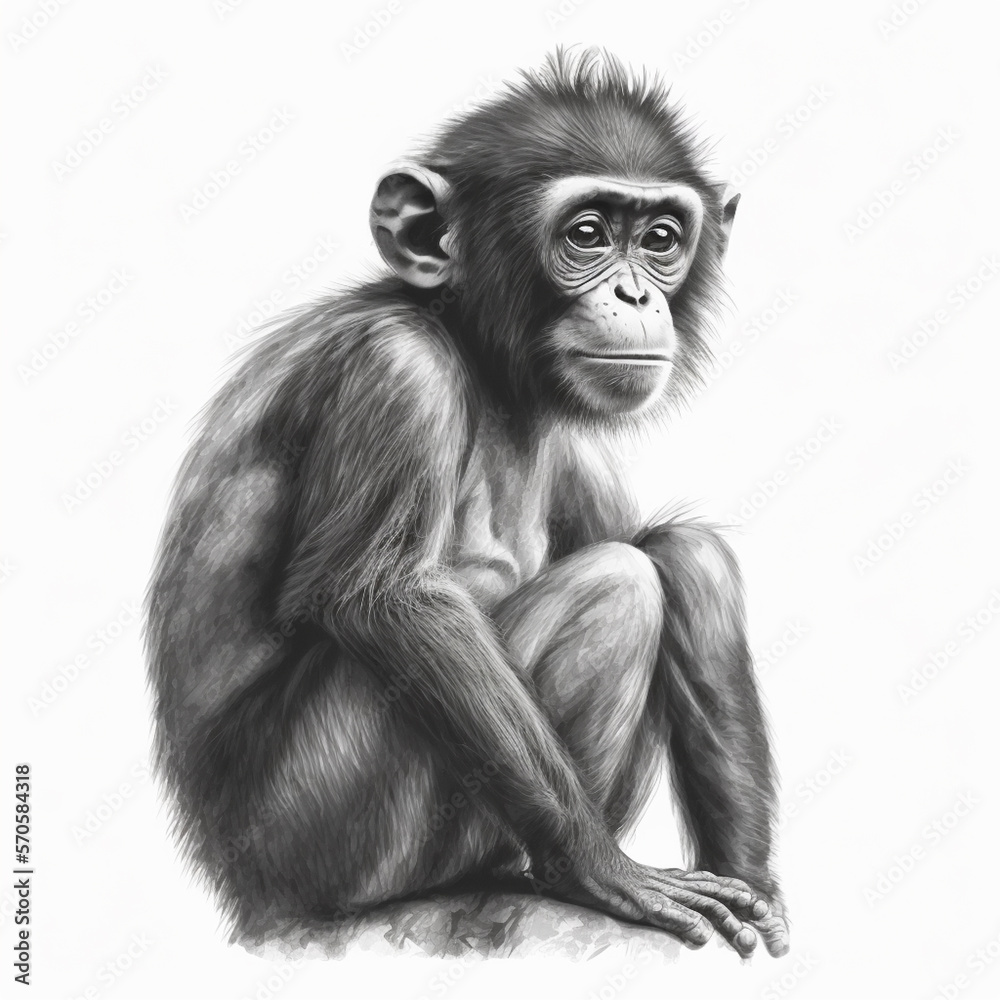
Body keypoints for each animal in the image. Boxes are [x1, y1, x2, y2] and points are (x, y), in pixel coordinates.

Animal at [146, 48, 789, 959]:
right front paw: (608, 867)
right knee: (617, 585)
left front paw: (754, 882)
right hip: (330, 830)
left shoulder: (577, 454)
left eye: (661, 239)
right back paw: (559, 873)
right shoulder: (394, 370)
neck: (472, 347)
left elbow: (682, 552)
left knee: (657, 559)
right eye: (586, 234)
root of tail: (246, 899)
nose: (636, 296)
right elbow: (394, 598)